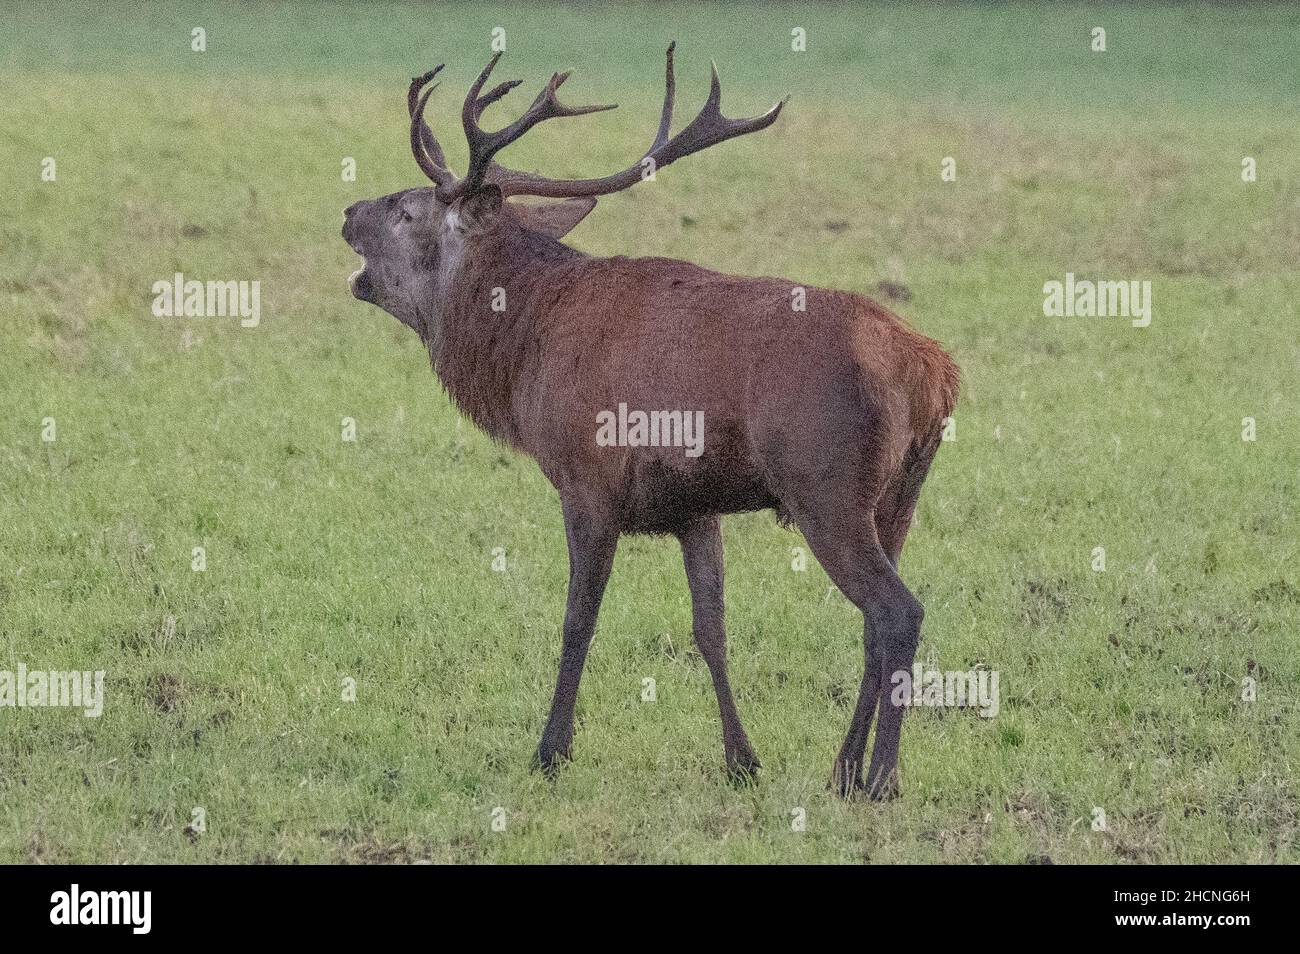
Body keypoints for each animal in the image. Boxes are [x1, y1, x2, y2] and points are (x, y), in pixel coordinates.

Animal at [341, 44, 959, 799]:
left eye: (404, 209)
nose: (346, 211)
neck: (524, 349)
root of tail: (934, 372)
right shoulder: (693, 506)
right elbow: (710, 629)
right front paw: (741, 759)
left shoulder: (587, 480)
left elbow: (577, 620)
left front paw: (550, 750)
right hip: (898, 498)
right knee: (874, 619)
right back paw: (841, 768)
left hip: (826, 488)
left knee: (897, 611)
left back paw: (881, 779)